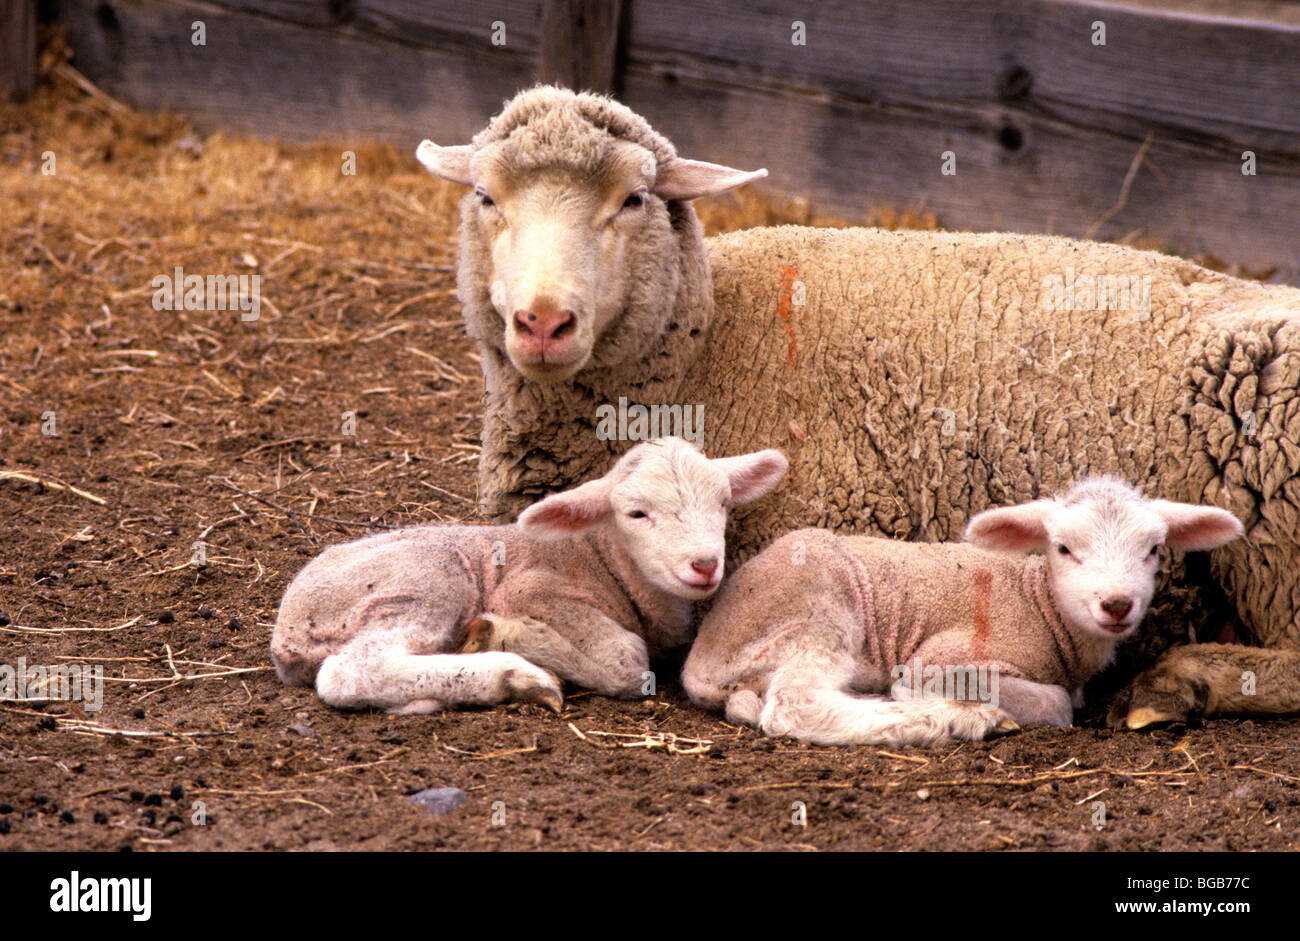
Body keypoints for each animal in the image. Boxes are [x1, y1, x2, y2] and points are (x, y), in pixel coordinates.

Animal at [269, 437, 787, 714]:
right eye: (637, 514)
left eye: (724, 503)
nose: (705, 564)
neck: (602, 559)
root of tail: (288, 626)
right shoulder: (531, 588)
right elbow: (626, 659)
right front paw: (516, 636)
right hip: (424, 581)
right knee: (350, 671)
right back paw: (513, 674)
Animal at [680, 478, 1244, 747]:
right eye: (1063, 548)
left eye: (1153, 549)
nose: (1117, 603)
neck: (1041, 604)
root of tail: (702, 656)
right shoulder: (943, 657)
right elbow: (1058, 702)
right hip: (818, 609)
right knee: (795, 704)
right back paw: (955, 721)